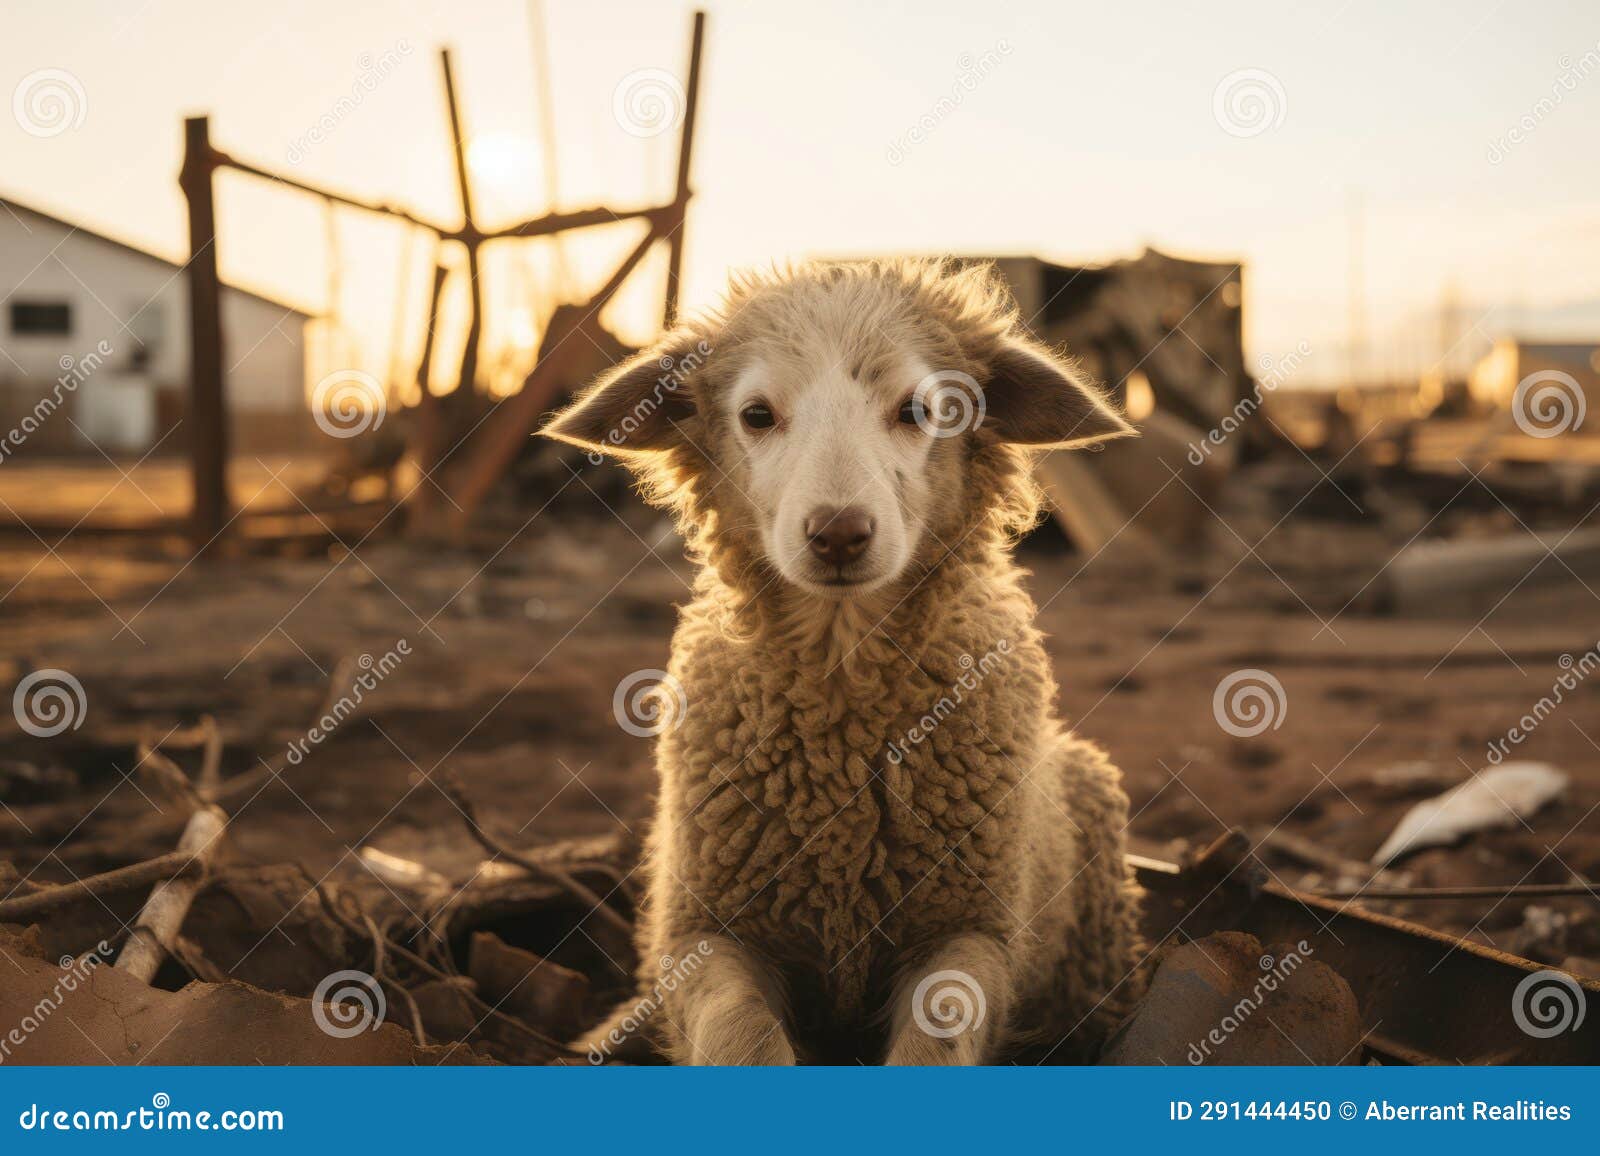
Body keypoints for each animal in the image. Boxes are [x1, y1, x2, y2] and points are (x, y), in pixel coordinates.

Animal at [544, 258, 1145, 1064]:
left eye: (923, 410)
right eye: (757, 414)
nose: (838, 533)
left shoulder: (976, 929)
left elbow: (941, 1032)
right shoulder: (705, 931)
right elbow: (737, 1028)